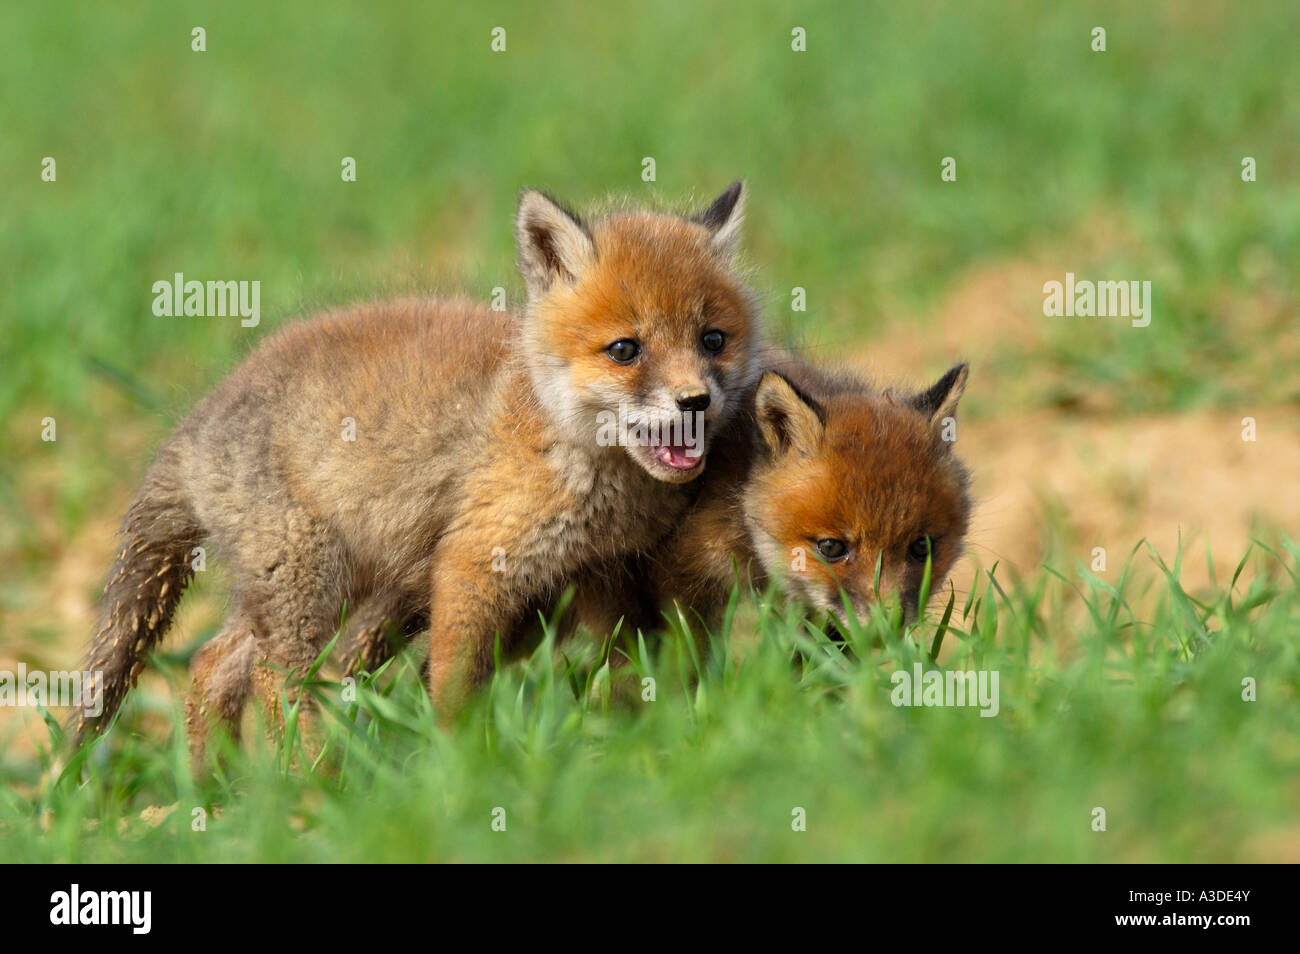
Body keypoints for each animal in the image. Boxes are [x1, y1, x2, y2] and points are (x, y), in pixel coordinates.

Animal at [74, 182, 760, 760]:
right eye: (625, 350)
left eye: (712, 340)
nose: (695, 401)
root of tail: (196, 421)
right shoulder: (471, 563)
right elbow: (453, 686)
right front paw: (455, 767)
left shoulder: (600, 571)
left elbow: (642, 665)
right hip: (307, 579)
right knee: (277, 679)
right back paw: (311, 779)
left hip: (321, 585)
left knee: (212, 666)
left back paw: (219, 794)